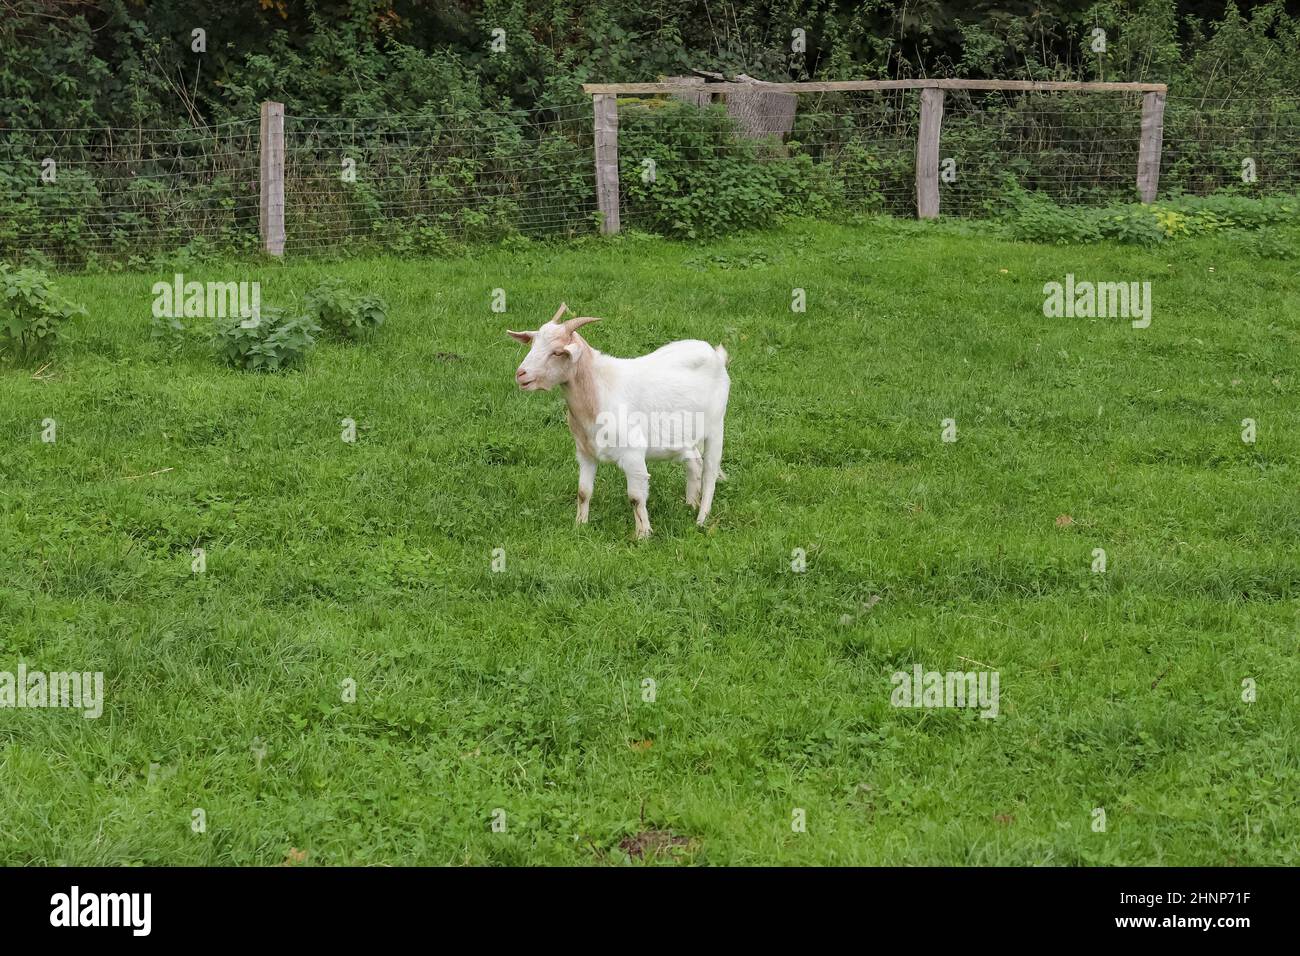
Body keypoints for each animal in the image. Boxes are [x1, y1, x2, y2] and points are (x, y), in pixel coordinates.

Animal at [508, 304, 729, 538]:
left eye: (558, 352)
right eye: (533, 343)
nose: (521, 374)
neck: (599, 389)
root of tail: (716, 355)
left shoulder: (633, 454)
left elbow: (636, 498)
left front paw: (643, 535)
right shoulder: (585, 452)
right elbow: (583, 492)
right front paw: (580, 526)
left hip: (716, 426)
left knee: (710, 472)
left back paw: (701, 519)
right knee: (694, 461)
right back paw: (690, 504)